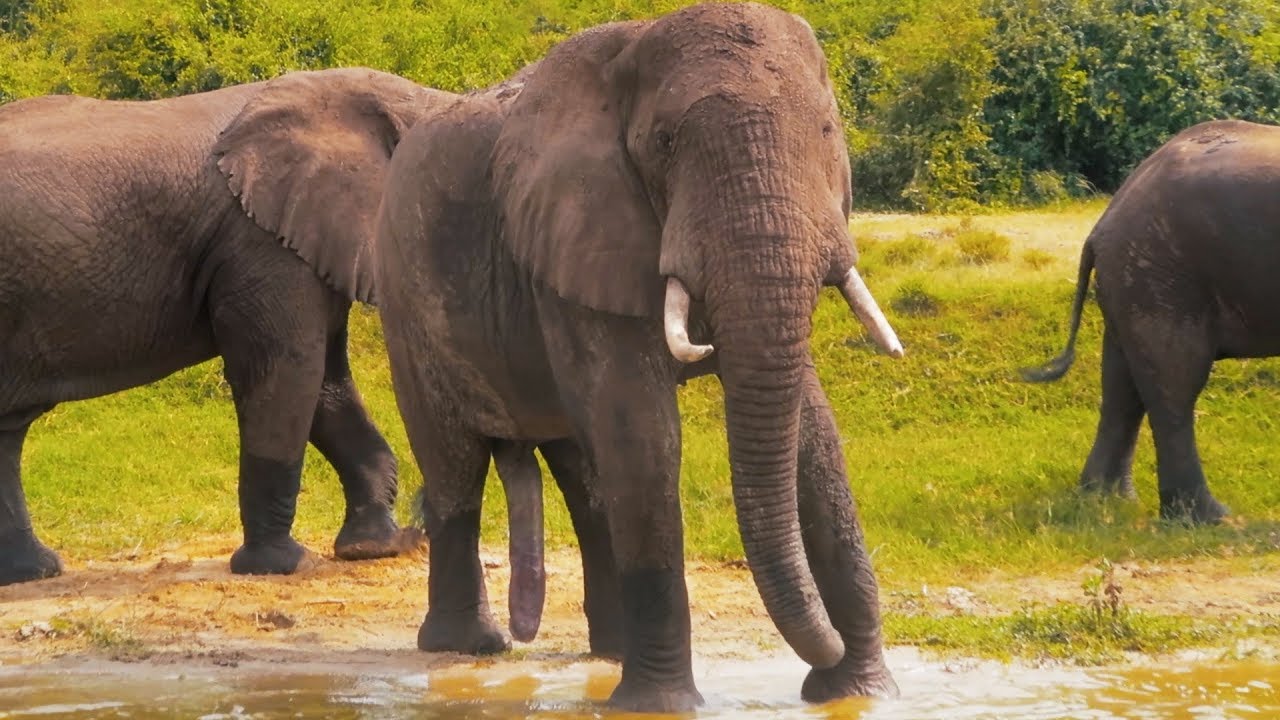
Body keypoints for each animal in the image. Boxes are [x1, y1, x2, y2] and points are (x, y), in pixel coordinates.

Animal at [0, 68, 448, 586]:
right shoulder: (259, 244)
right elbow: (287, 375)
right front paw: (282, 566)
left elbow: (325, 387)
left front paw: (379, 546)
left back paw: (33, 571)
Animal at [374, 3, 904, 711]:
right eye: (664, 144)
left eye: (826, 130)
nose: (830, 652)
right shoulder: (580, 230)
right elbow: (643, 432)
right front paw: (661, 707)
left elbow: (813, 432)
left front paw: (860, 693)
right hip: (405, 296)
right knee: (455, 462)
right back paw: (470, 648)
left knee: (587, 478)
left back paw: (610, 650)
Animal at [1024, 118, 1280, 523]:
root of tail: (1104, 221)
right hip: (1164, 275)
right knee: (1175, 382)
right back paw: (1209, 518)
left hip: (1136, 278)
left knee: (1122, 385)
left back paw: (1109, 500)